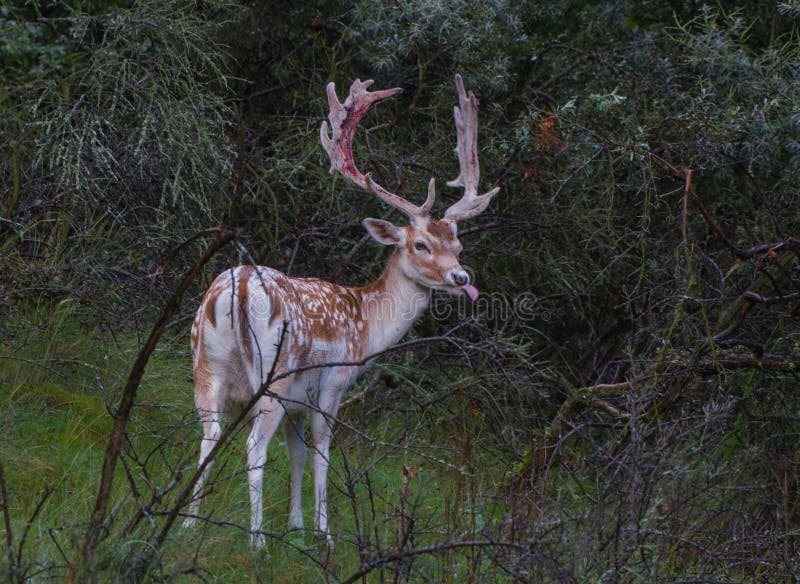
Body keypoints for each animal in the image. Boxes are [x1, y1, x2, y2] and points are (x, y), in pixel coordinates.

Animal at [182, 74, 500, 547]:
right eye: (420, 245)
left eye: (457, 245)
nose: (462, 278)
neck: (366, 325)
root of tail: (236, 292)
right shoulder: (332, 384)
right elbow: (320, 453)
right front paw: (324, 534)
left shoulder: (297, 402)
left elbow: (295, 454)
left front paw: (295, 527)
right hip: (274, 373)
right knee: (254, 447)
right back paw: (256, 541)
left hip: (206, 365)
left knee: (209, 436)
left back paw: (188, 524)